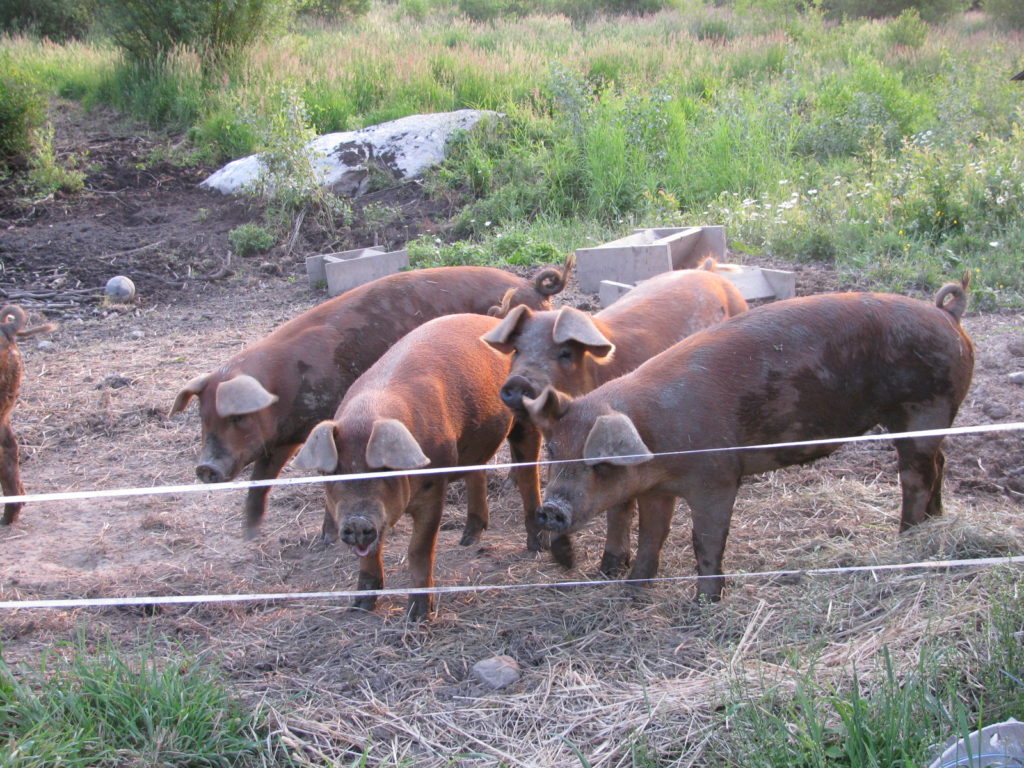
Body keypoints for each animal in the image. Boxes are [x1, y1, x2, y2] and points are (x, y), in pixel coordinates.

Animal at [170, 262, 569, 538]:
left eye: (237, 417)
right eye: (204, 418)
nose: (205, 468)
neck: (283, 389)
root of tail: (530, 285)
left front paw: (326, 538)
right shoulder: (282, 438)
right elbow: (261, 478)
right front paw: (250, 534)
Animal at [292, 313, 541, 620]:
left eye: (385, 469)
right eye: (332, 472)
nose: (357, 522)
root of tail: (493, 320)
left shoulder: (434, 488)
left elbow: (418, 550)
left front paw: (418, 616)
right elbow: (370, 553)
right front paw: (359, 608)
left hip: (526, 419)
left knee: (529, 476)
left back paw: (535, 547)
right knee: (477, 471)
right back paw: (468, 540)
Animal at [481, 264, 748, 565]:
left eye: (565, 353)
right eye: (517, 350)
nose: (519, 382)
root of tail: (709, 271)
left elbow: (620, 505)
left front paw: (610, 567)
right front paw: (546, 549)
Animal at [526, 279, 974, 602]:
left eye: (600, 463)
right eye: (554, 451)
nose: (551, 509)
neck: (658, 442)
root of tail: (947, 314)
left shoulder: (718, 479)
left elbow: (705, 540)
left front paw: (705, 603)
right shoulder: (656, 490)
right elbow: (654, 534)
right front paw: (633, 592)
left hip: (926, 408)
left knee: (916, 476)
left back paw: (908, 540)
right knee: (940, 465)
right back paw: (934, 522)